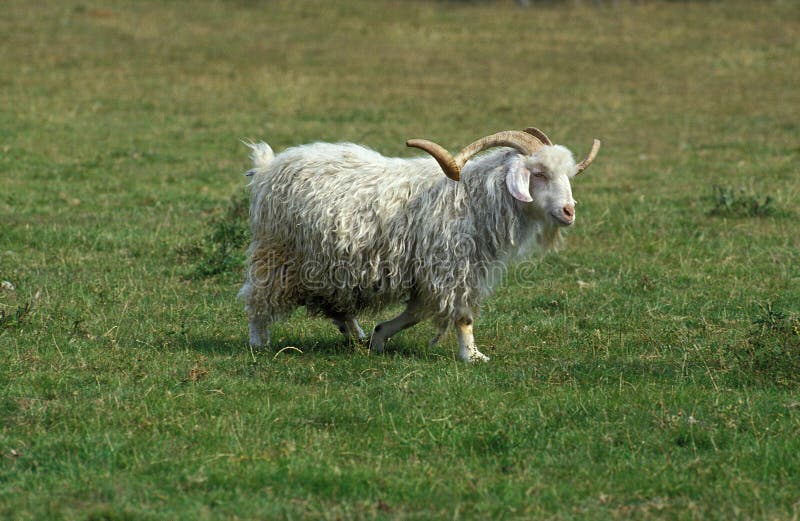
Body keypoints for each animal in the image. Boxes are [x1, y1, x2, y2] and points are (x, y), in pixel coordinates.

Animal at [238, 128, 600, 361]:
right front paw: (472, 355)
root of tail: (267, 166)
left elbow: (417, 311)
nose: (569, 211)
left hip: (328, 262)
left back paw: (355, 334)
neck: (471, 197)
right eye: (538, 173)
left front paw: (380, 336)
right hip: (280, 252)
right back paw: (258, 342)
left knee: (335, 304)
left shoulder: (438, 270)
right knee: (259, 295)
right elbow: (461, 315)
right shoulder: (451, 266)